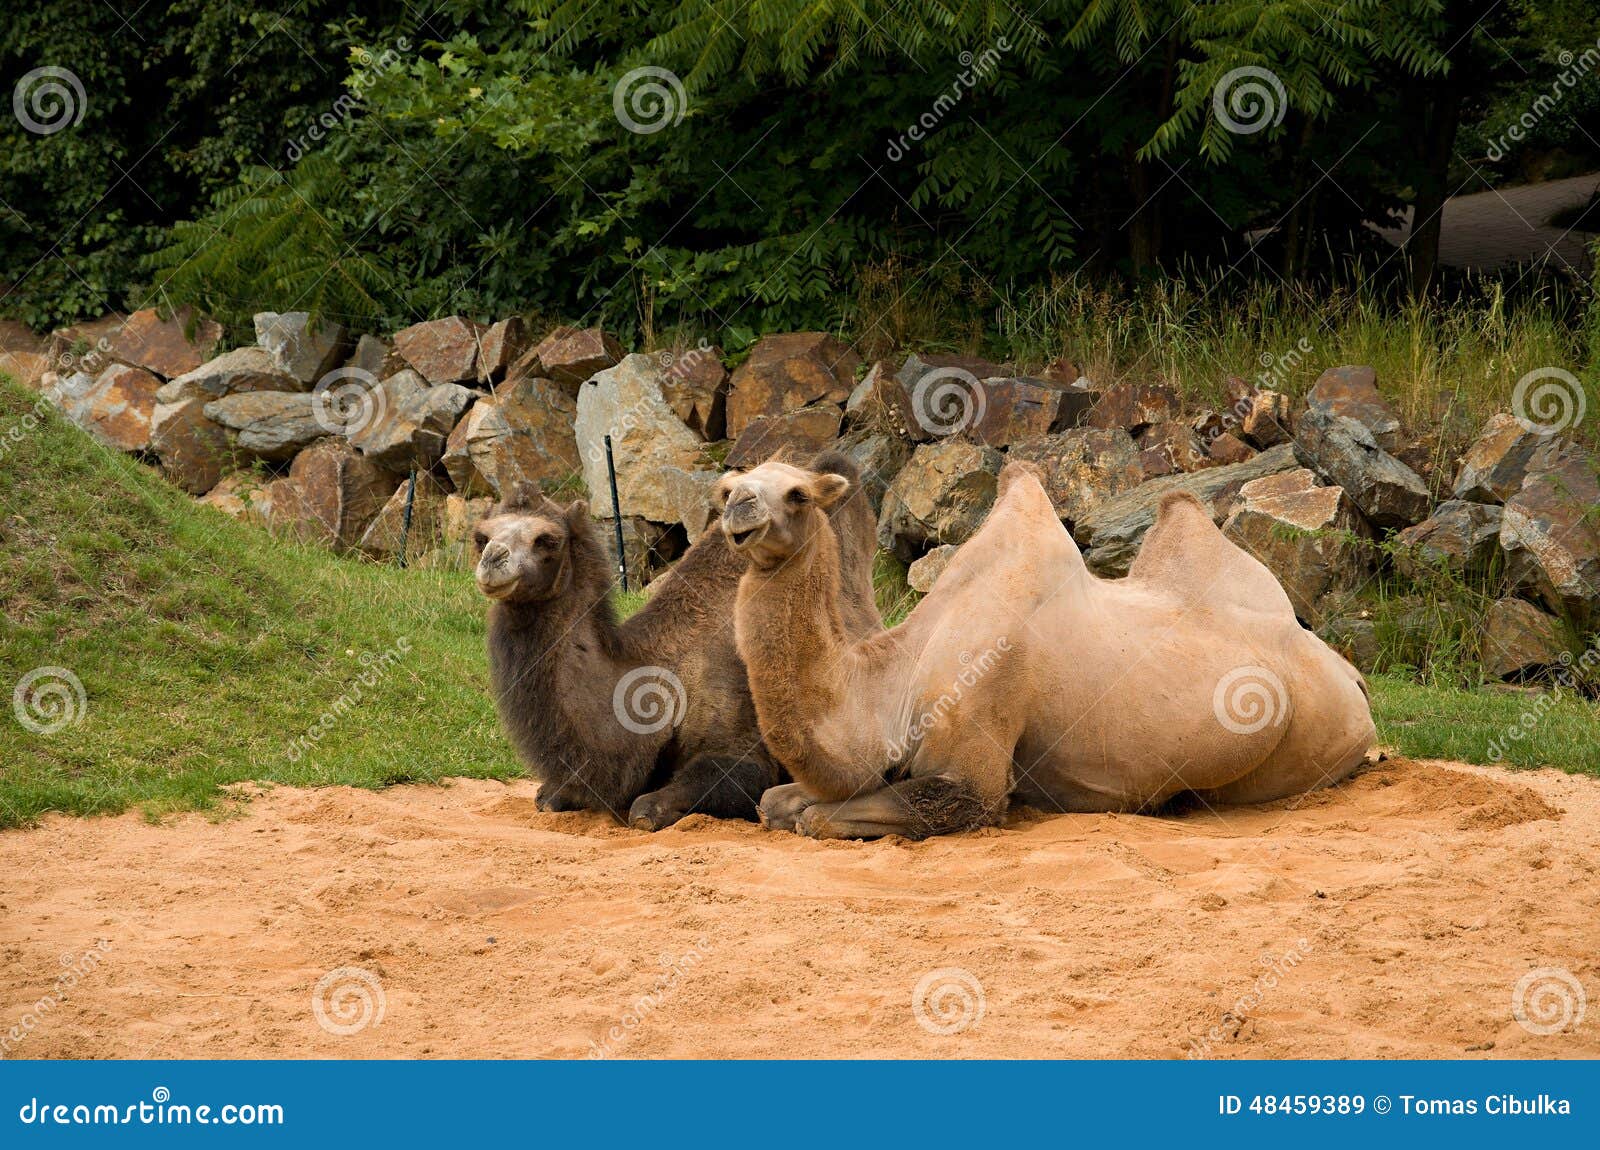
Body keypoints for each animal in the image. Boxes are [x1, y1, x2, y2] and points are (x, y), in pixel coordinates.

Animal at [474, 452, 879, 830]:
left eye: (548, 540)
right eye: (481, 536)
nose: (492, 560)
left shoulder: (740, 744)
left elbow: (647, 807)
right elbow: (548, 797)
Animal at [718, 457, 1376, 840]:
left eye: (798, 494)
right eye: (727, 489)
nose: (739, 508)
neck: (892, 680)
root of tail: (1354, 679)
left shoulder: (973, 767)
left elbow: (818, 818)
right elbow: (773, 802)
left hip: (1313, 744)